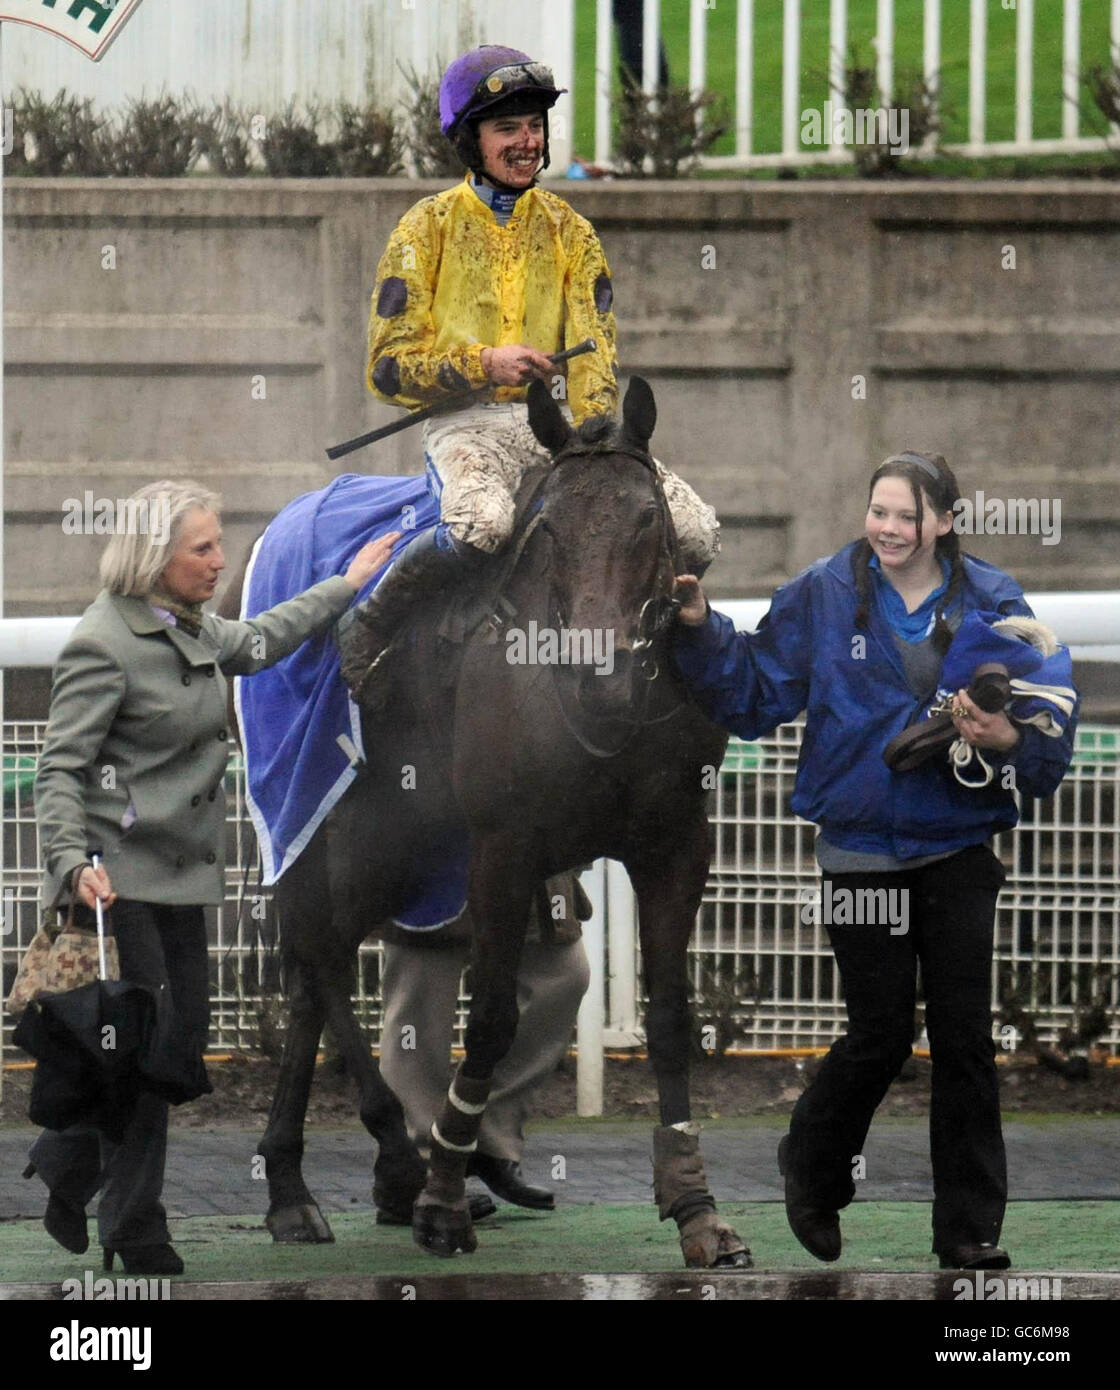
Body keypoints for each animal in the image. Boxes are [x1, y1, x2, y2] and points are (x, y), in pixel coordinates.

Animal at [222, 377, 748, 1268]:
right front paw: (442, 1199)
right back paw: (322, 1184)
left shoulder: (677, 841)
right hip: (323, 818)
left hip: (409, 840)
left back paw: (366, 1173)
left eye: (648, 519)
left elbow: (672, 1015)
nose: (599, 673)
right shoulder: (504, 847)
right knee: (318, 957)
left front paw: (695, 1207)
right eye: (548, 529)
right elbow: (495, 1017)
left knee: (311, 973)